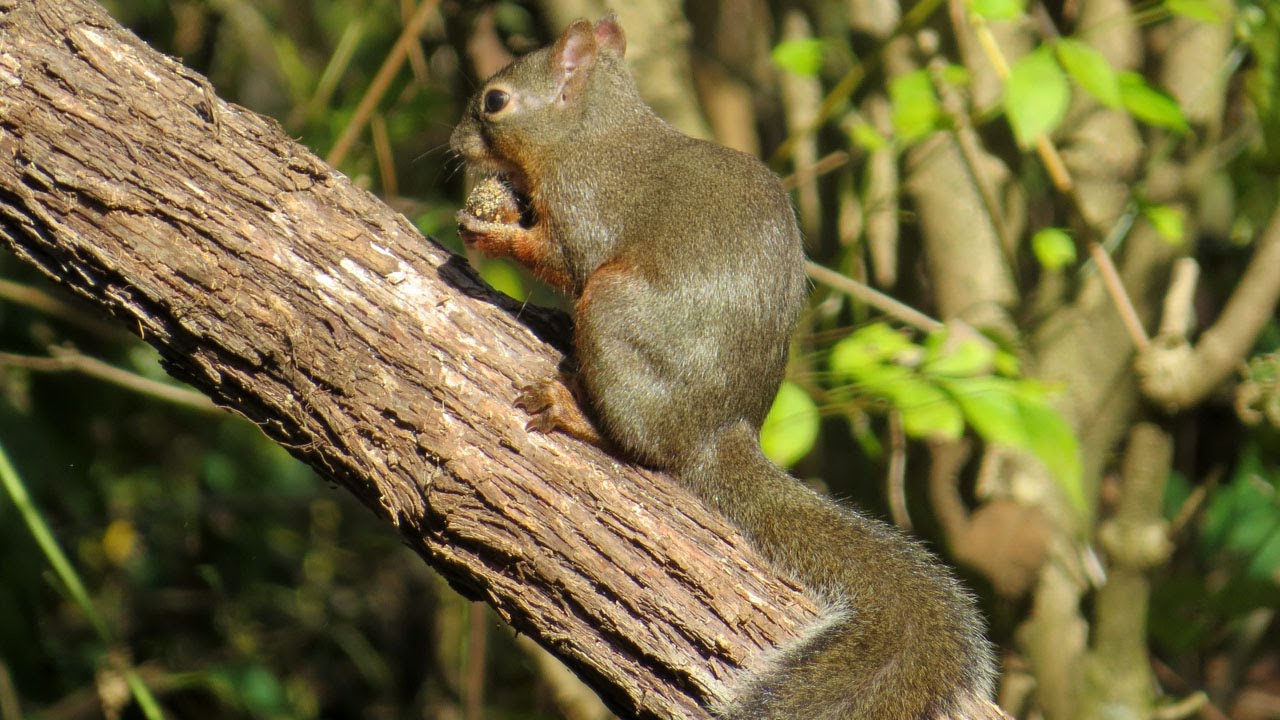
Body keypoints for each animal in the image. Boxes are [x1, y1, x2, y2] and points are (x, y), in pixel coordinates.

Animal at [451, 13, 1000, 720]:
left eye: (494, 101)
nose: (455, 144)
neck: (591, 134)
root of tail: (717, 430)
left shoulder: (584, 212)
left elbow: (557, 257)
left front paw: (487, 232)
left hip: (613, 310)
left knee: (645, 445)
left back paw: (573, 409)